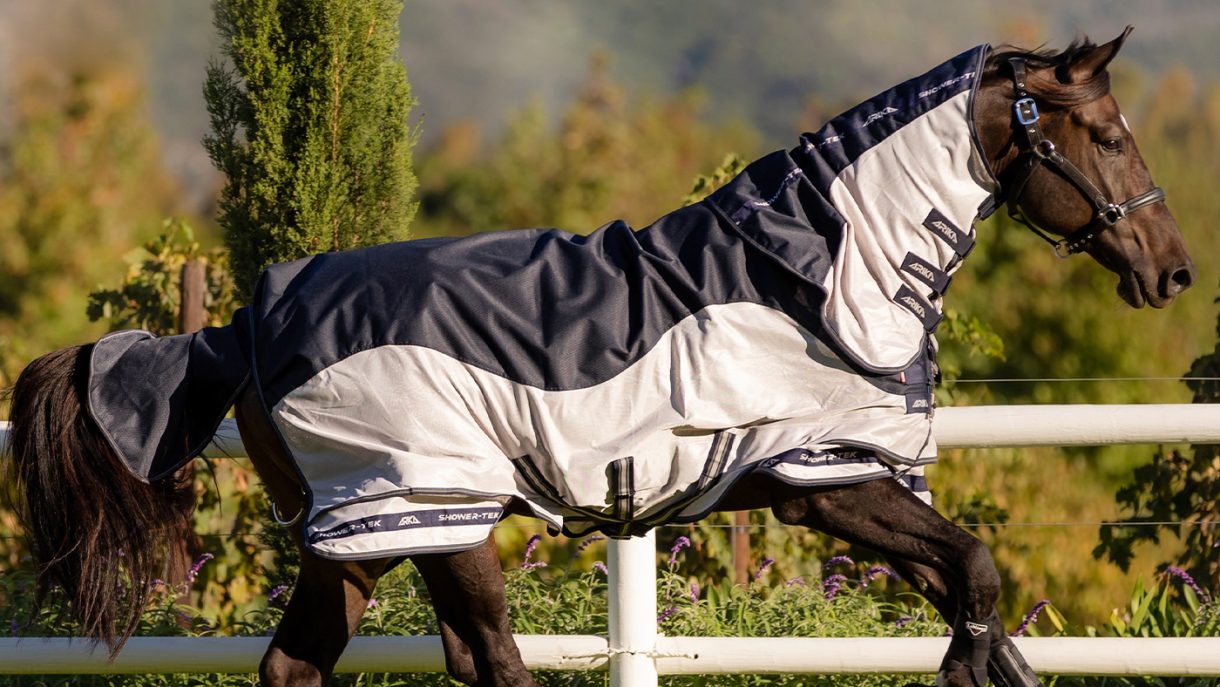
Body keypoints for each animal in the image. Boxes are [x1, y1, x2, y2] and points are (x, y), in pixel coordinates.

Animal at [4, 28, 1195, 687]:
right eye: (1102, 134)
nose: (1172, 270)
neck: (819, 272)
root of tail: (243, 326)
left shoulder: (855, 486)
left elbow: (972, 598)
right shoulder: (826, 483)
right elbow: (979, 576)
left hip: (366, 536)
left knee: (299, 665)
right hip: (433, 517)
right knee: (488, 661)